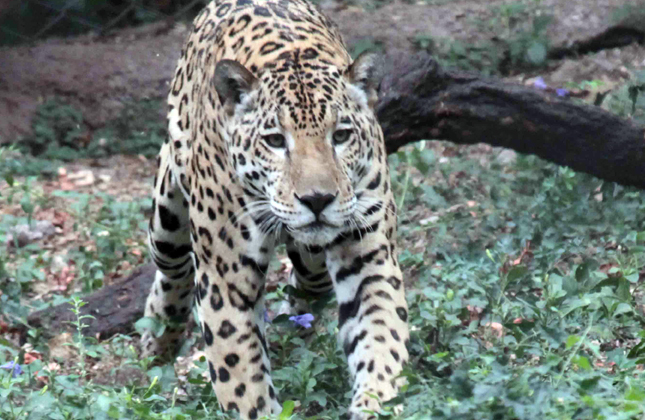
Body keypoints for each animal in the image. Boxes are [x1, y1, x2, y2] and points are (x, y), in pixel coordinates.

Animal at [140, 0, 410, 418]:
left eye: (341, 135)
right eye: (275, 141)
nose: (317, 200)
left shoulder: (369, 258)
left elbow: (381, 337)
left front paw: (375, 403)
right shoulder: (226, 280)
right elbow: (241, 376)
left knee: (308, 280)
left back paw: (293, 318)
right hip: (167, 215)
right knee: (173, 268)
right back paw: (157, 337)